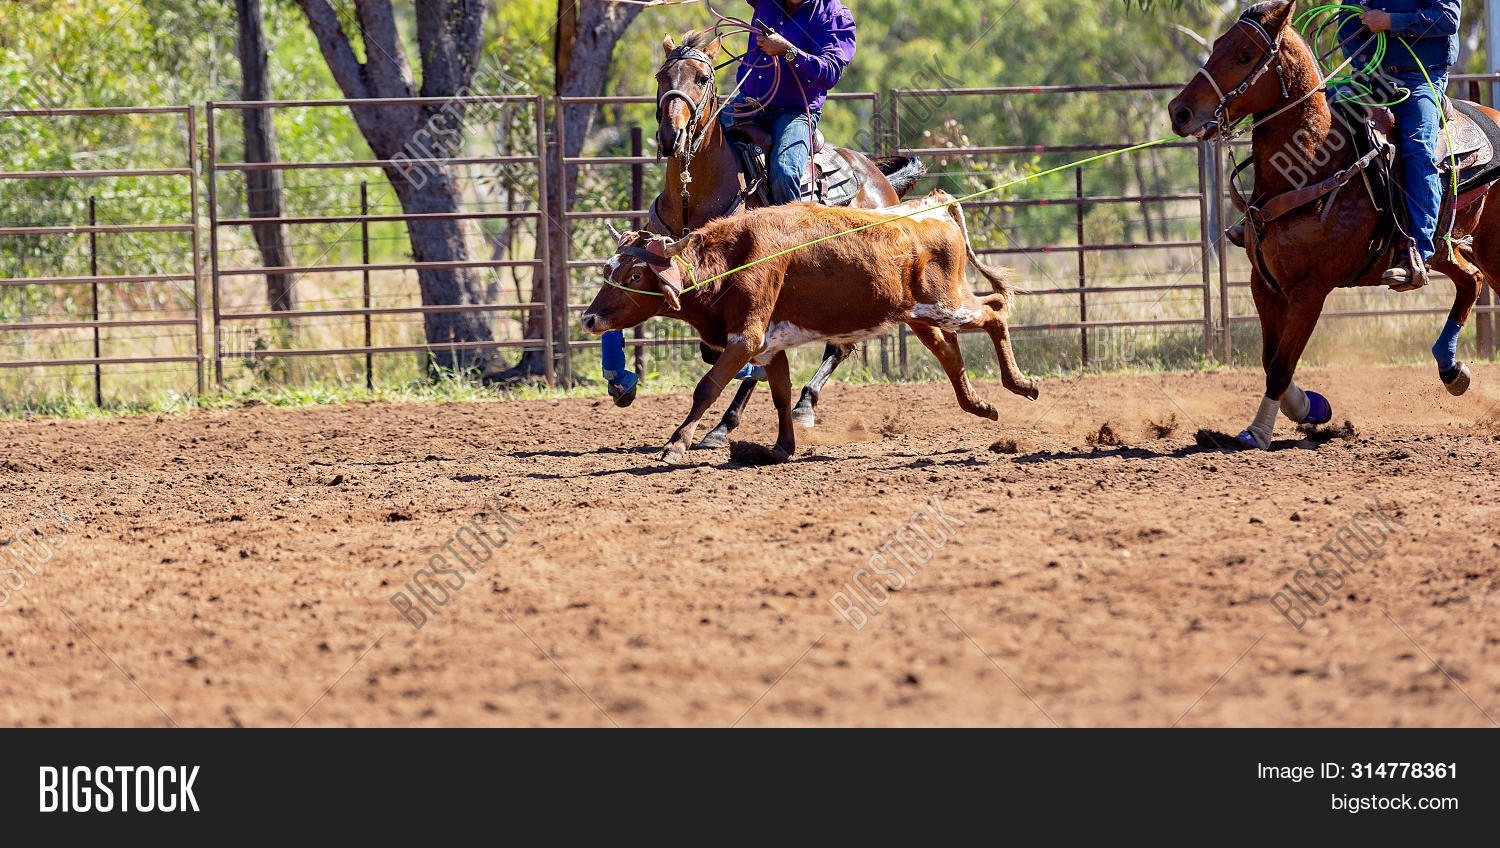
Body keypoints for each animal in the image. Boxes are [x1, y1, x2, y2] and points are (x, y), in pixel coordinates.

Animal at [579, 191, 1039, 464]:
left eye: (635, 274)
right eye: (607, 270)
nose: (588, 318)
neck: (732, 258)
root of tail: (933, 205)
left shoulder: (746, 339)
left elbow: (707, 387)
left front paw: (677, 443)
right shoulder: (769, 346)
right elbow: (781, 395)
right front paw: (782, 446)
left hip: (948, 303)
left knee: (994, 312)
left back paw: (1020, 384)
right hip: (921, 312)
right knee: (949, 350)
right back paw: (979, 404)